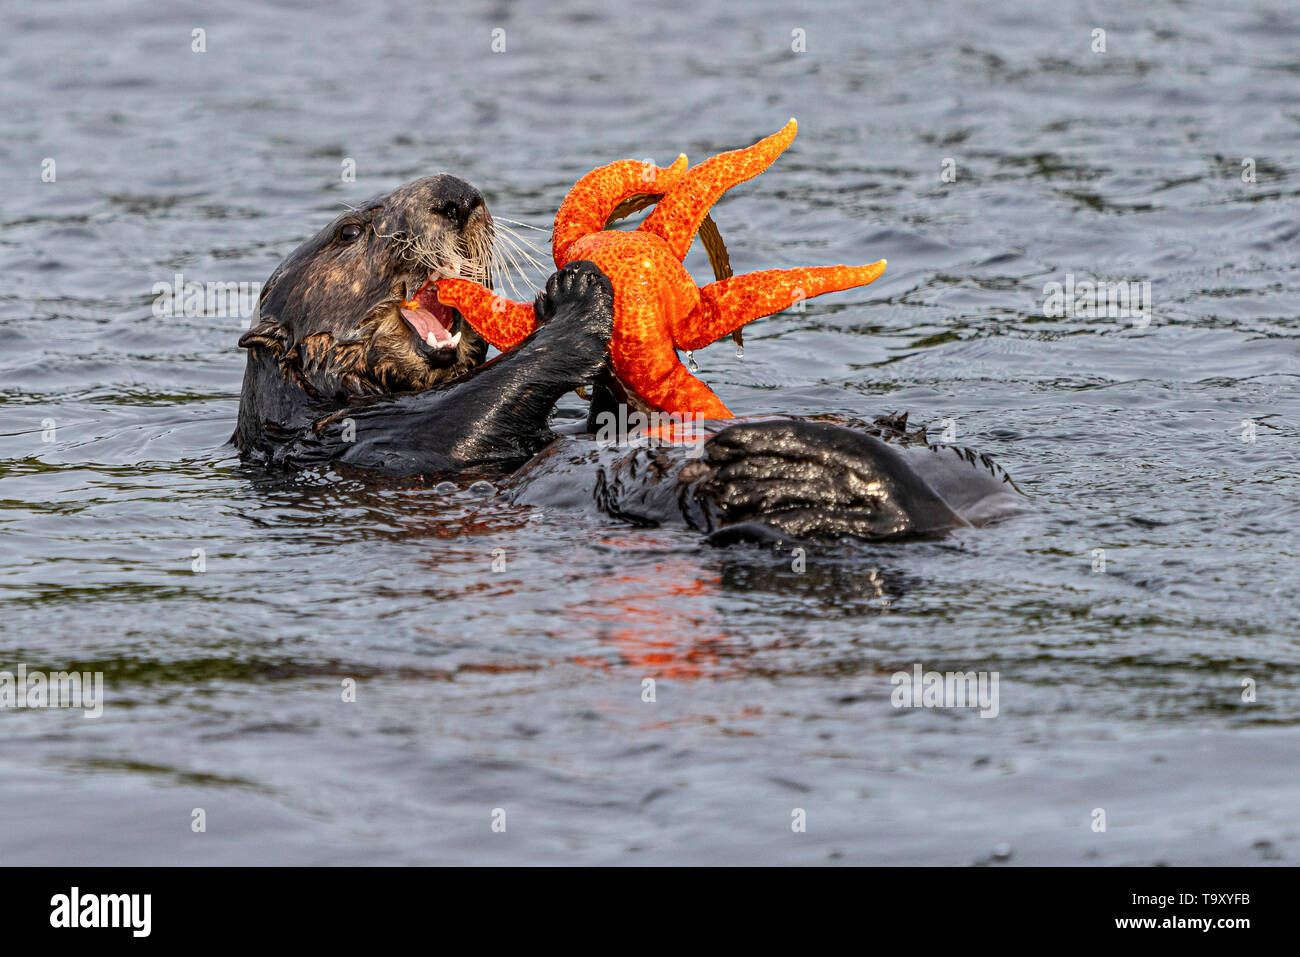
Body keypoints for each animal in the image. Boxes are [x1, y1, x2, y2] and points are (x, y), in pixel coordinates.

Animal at [234, 174, 1022, 543]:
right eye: (349, 232)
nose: (458, 197)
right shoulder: (384, 438)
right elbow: (479, 406)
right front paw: (579, 293)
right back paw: (773, 462)